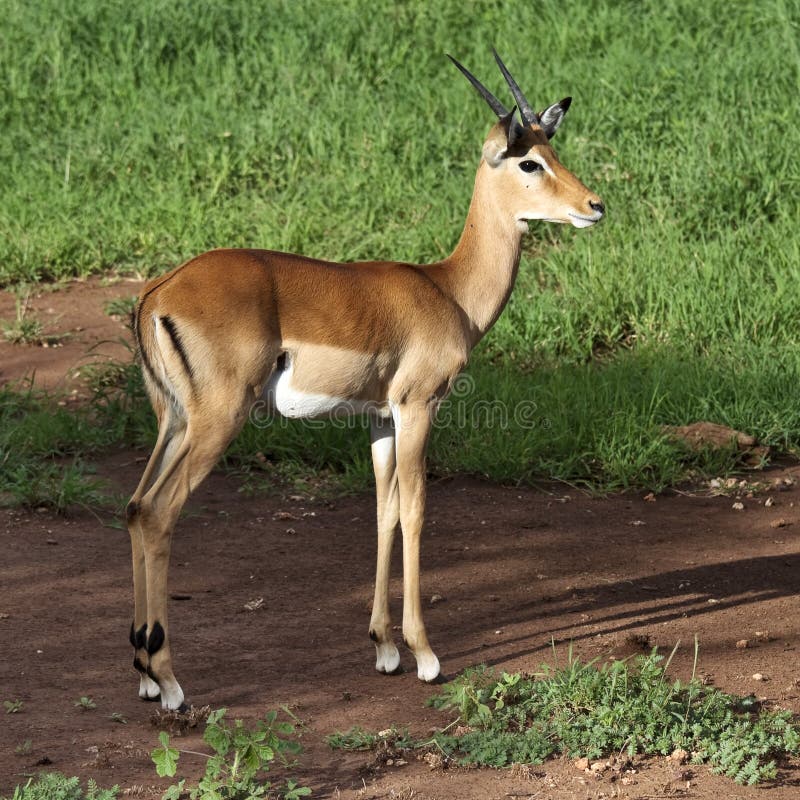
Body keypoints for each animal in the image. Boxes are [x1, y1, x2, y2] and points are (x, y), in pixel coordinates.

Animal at [126, 51, 604, 710]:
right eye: (529, 161)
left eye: (553, 149)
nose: (595, 205)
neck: (448, 291)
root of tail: (157, 292)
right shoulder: (418, 407)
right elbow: (418, 510)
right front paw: (425, 655)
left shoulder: (379, 420)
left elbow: (385, 513)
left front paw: (383, 648)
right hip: (217, 420)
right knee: (158, 512)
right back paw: (170, 681)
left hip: (172, 420)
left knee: (134, 506)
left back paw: (146, 674)